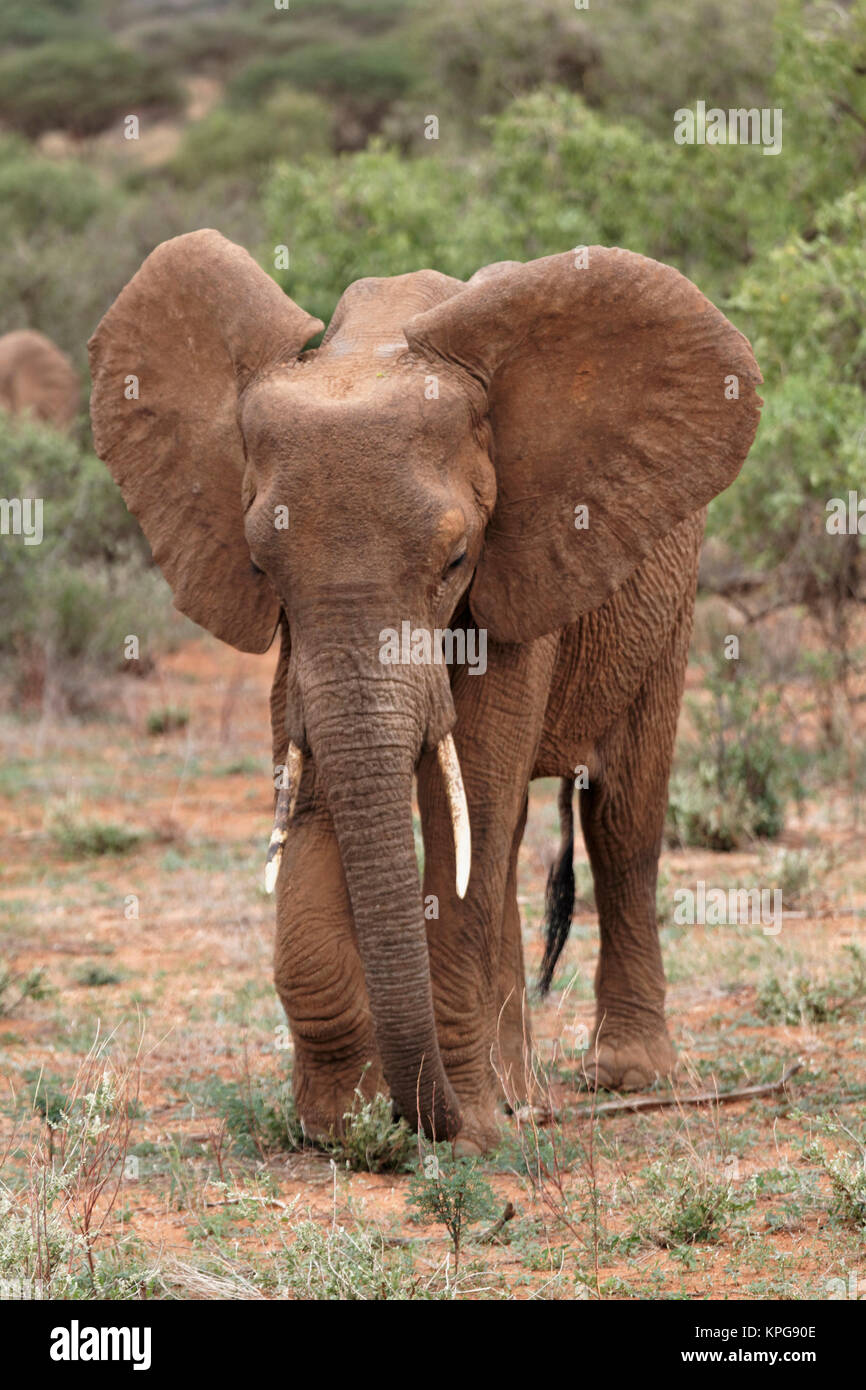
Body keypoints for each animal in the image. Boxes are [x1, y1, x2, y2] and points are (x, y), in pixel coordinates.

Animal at [88, 230, 761, 1153]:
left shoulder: (521, 561)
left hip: (671, 595)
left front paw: (466, 1132)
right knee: (509, 836)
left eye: (455, 559)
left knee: (619, 813)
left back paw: (623, 1079)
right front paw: (344, 1127)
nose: (422, 1120)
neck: (374, 346)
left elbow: (469, 785)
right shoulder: (299, 641)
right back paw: (521, 1092)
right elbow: (326, 786)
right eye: (262, 564)